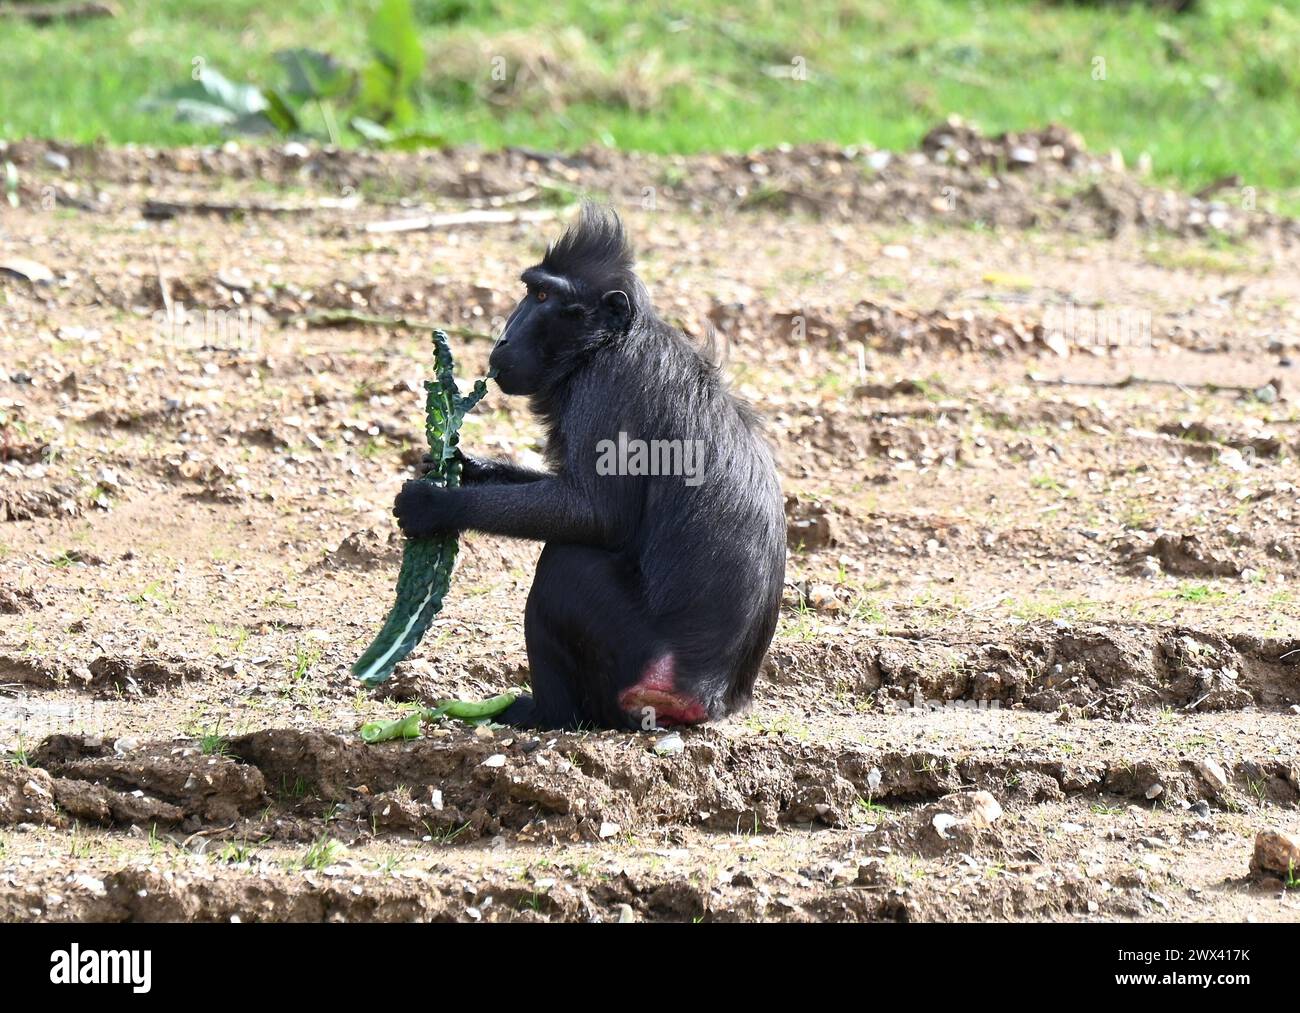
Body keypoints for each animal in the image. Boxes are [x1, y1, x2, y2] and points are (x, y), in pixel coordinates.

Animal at [393, 204, 785, 730]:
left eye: (542, 296)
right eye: (530, 290)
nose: (502, 337)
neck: (605, 341)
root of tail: (710, 693)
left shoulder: (604, 384)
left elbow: (596, 514)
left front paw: (435, 505)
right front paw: (462, 465)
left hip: (637, 671)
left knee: (564, 562)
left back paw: (543, 714)